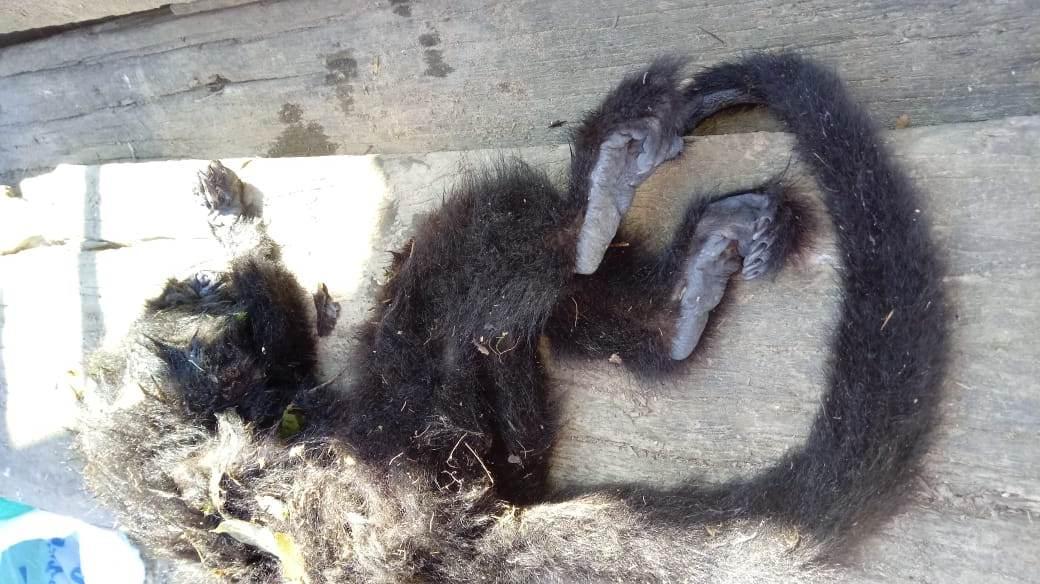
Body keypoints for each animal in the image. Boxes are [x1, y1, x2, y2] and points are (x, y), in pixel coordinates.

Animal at [76, 52, 947, 583]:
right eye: (193, 300)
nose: (202, 293)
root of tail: (443, 542)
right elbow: (270, 336)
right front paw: (239, 242)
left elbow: (274, 349)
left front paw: (228, 231)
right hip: (422, 441)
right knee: (444, 275)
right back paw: (605, 207)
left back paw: (667, 285)